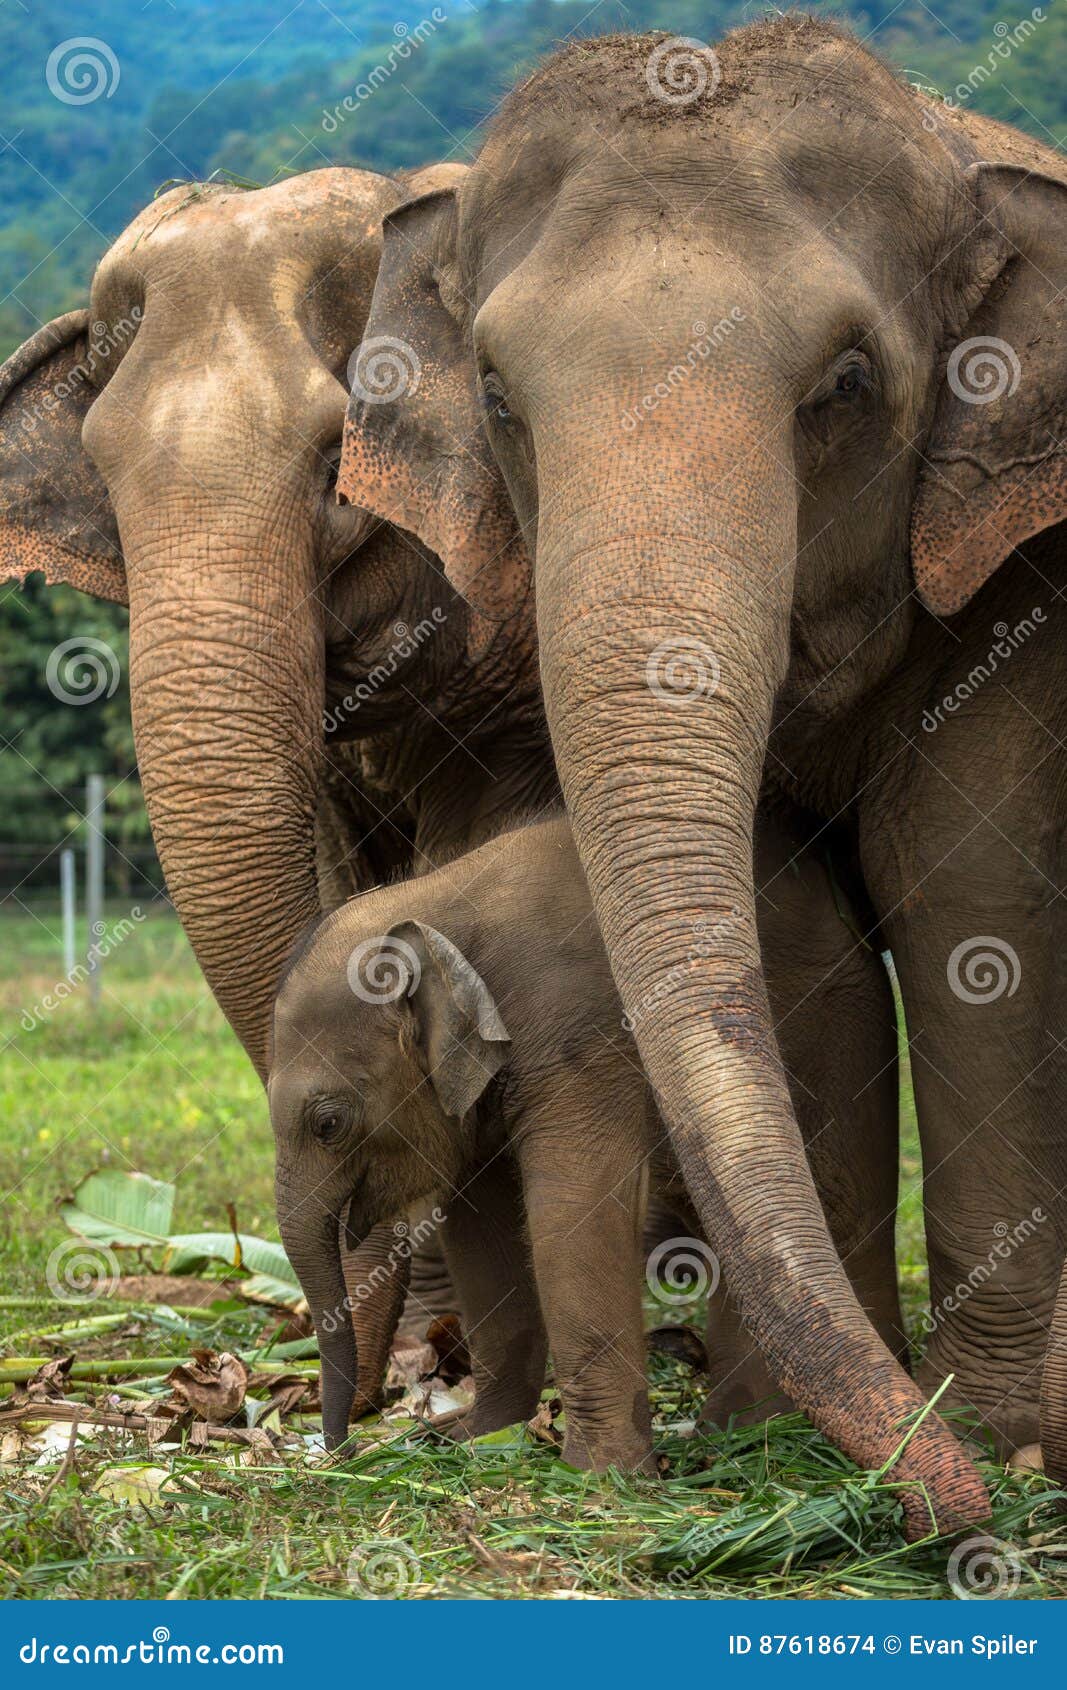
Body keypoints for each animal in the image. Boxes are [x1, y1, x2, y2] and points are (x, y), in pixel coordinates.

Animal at [270, 807, 906, 1465]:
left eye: (328, 1122)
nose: (338, 1449)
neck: (435, 902)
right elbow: (481, 1231)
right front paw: (475, 1439)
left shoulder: (577, 1032)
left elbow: (571, 1209)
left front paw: (600, 1476)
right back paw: (741, 1432)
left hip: (840, 1030)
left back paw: (755, 1434)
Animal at [336, 15, 1067, 1533]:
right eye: (494, 393)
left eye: (843, 387)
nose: (951, 1508)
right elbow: (807, 931)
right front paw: (806, 1427)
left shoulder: (1020, 572)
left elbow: (968, 900)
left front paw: (997, 1439)